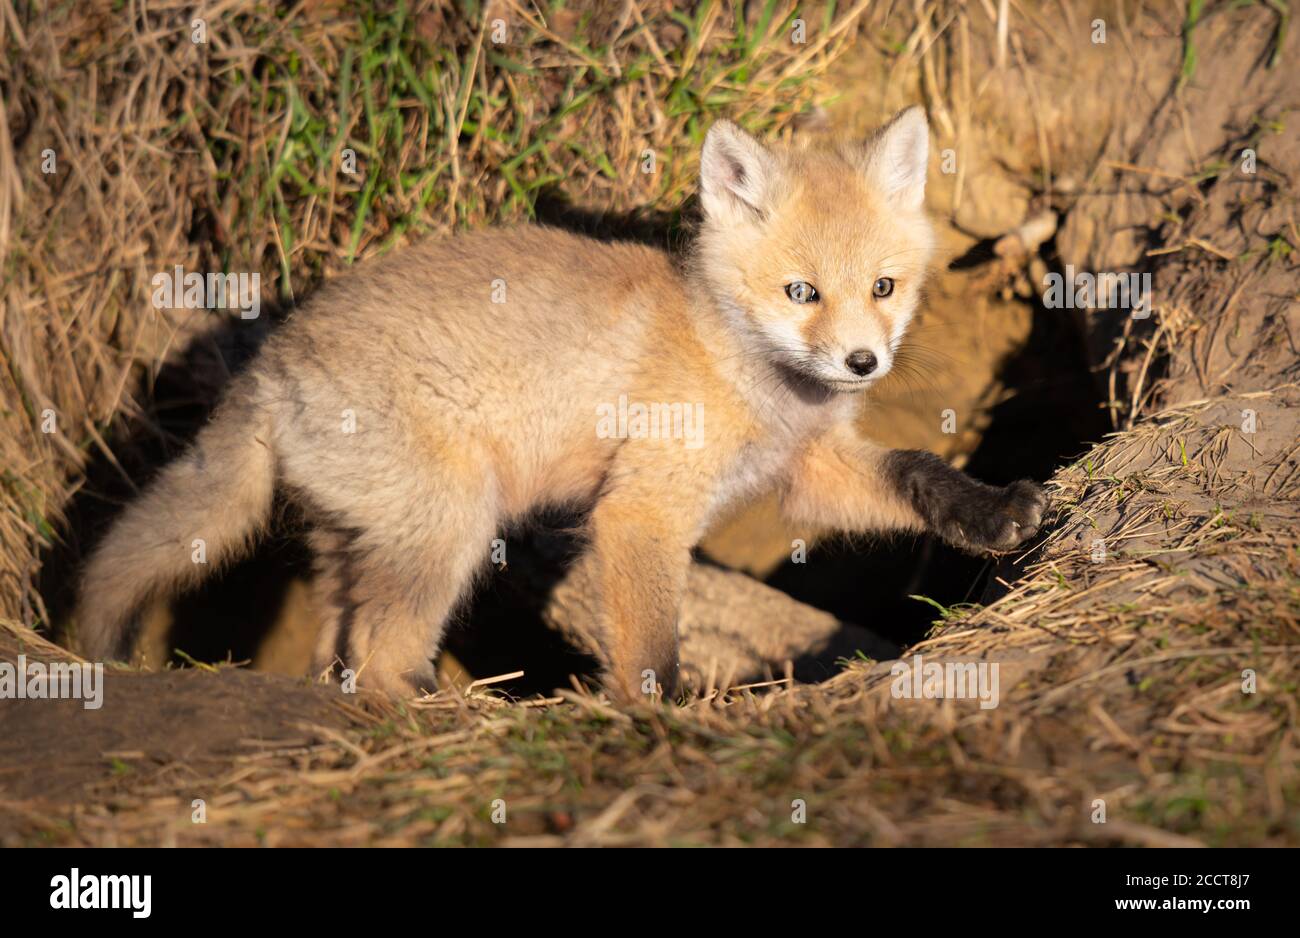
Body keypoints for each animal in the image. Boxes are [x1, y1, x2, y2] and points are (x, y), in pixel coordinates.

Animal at [73, 106, 1047, 703]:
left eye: (884, 286)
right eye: (801, 292)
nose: (861, 362)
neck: (742, 373)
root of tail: (273, 362)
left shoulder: (808, 469)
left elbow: (913, 472)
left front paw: (990, 511)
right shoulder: (641, 513)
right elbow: (650, 649)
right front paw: (658, 723)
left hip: (364, 541)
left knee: (339, 652)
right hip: (450, 525)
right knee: (381, 656)